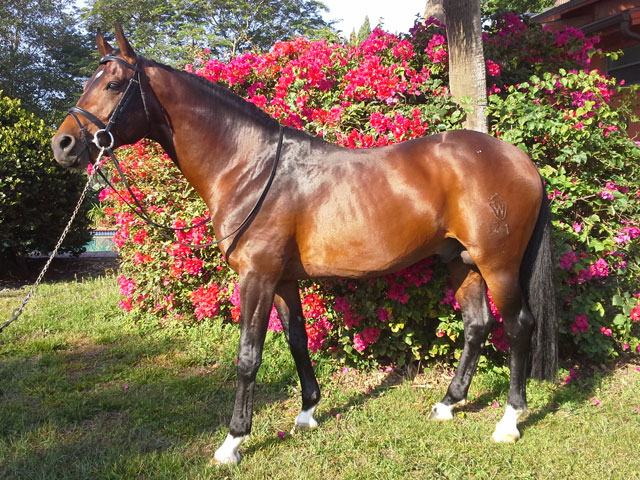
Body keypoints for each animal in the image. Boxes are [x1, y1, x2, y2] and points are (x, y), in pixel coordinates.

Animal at [52, 25, 557, 465]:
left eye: (114, 84)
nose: (64, 144)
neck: (250, 167)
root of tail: (521, 160)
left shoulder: (256, 277)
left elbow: (248, 356)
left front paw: (232, 442)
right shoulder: (282, 280)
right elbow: (297, 340)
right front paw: (308, 413)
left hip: (499, 265)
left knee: (518, 327)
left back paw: (509, 422)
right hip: (461, 261)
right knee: (476, 325)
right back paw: (448, 404)